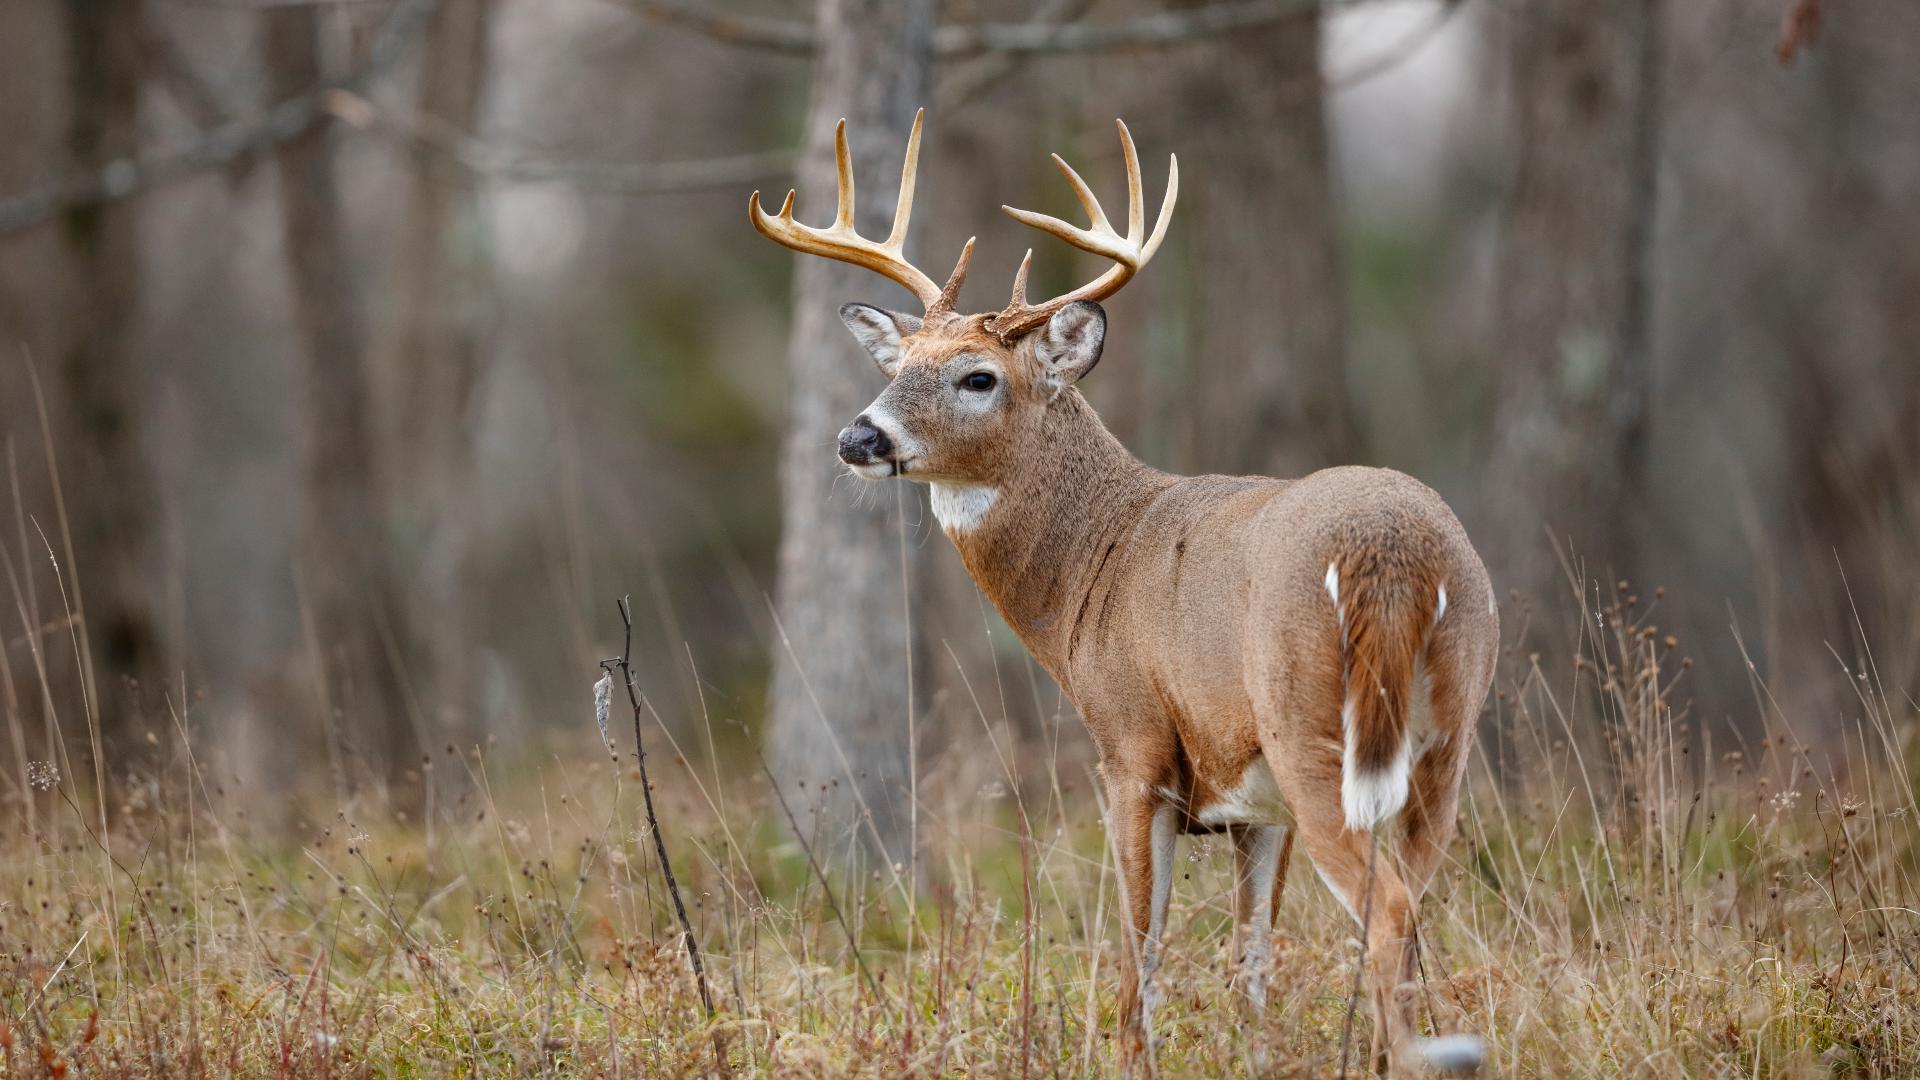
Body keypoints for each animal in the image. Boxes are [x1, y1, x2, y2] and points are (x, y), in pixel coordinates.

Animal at [750, 111, 1499, 1076]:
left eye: (978, 376)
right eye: (898, 363)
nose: (857, 437)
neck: (1092, 570)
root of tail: (1394, 553)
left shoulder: (1132, 743)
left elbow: (1140, 940)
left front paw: (1128, 1053)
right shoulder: (1253, 804)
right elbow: (1251, 959)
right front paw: (1250, 1052)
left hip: (1312, 727)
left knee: (1390, 912)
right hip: (1446, 736)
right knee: (1413, 902)